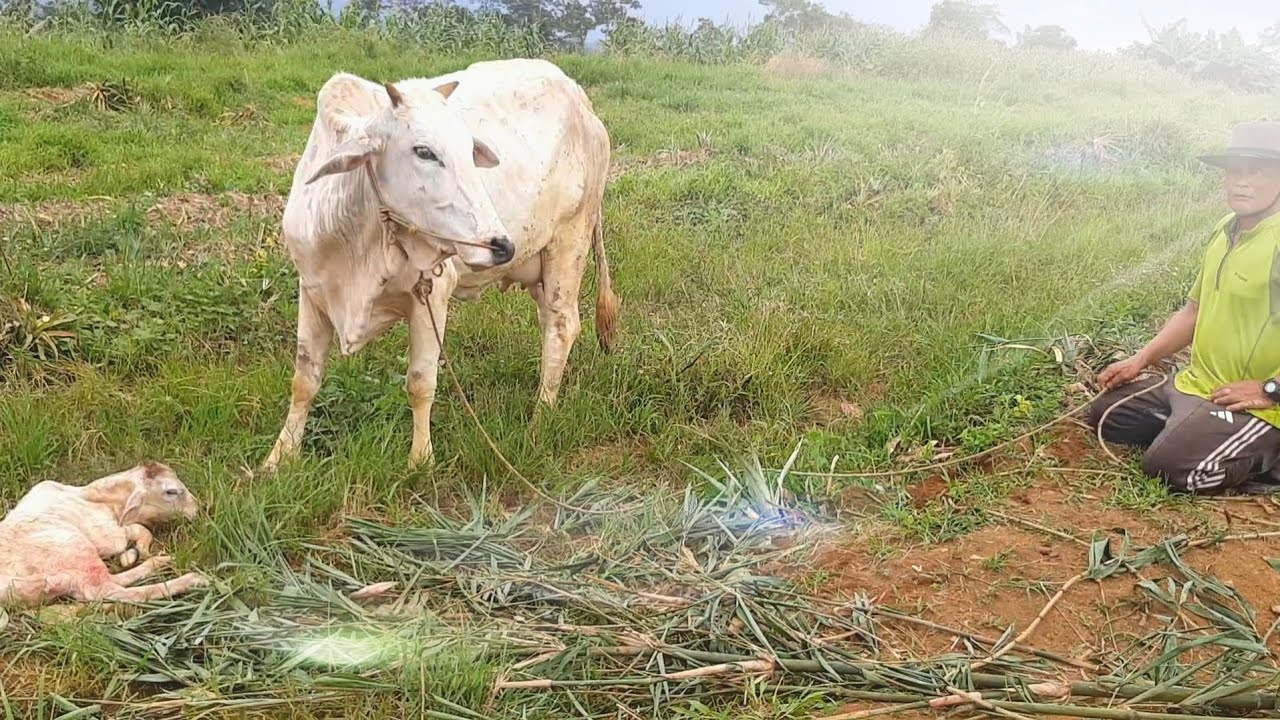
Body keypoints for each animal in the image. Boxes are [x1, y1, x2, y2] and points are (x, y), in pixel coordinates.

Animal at [261, 59, 619, 472]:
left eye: (469, 150)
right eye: (424, 151)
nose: (500, 244)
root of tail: (579, 97)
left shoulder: (431, 294)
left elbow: (420, 382)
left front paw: (421, 460)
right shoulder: (312, 291)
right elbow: (305, 380)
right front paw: (279, 456)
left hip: (569, 241)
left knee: (562, 326)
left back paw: (540, 416)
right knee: (550, 321)